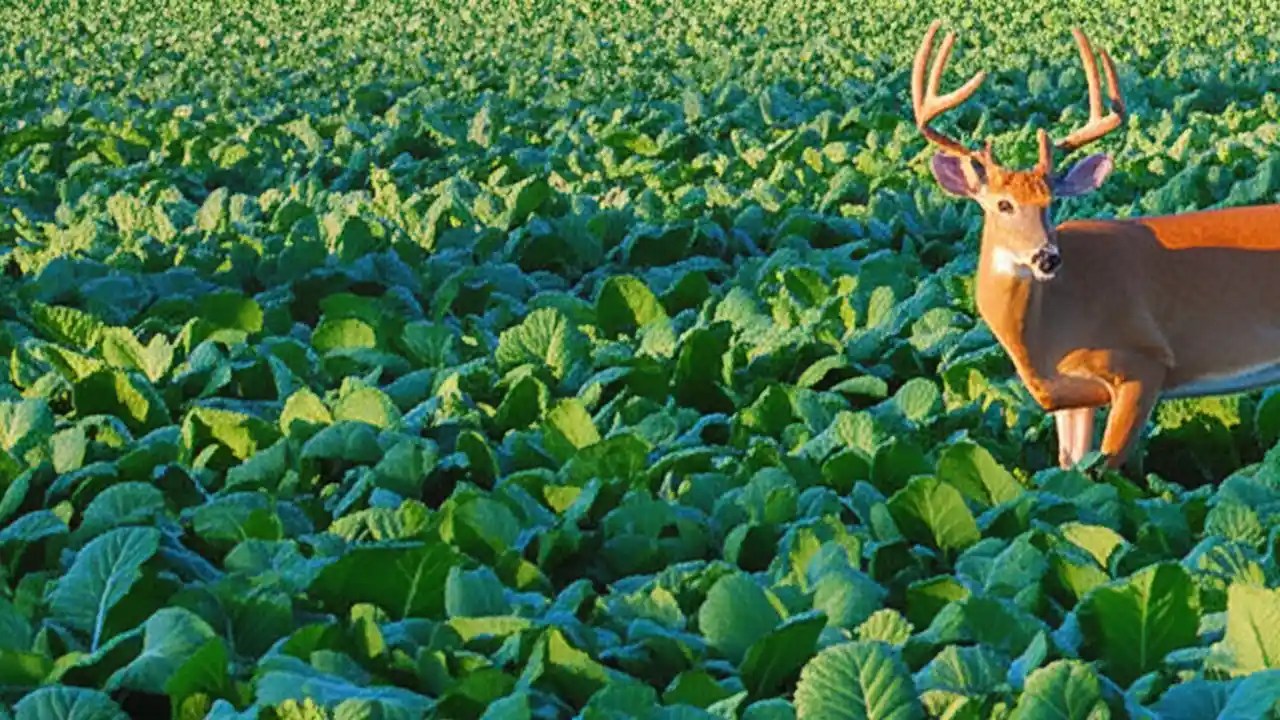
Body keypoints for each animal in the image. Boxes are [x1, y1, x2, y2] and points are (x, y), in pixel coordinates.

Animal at [913, 20, 1280, 472]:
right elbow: (1070, 469)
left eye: (1052, 203)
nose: (1046, 257)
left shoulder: (1142, 361)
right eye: (1003, 204)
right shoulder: (1073, 395)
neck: (1045, 332)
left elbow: (1105, 470)